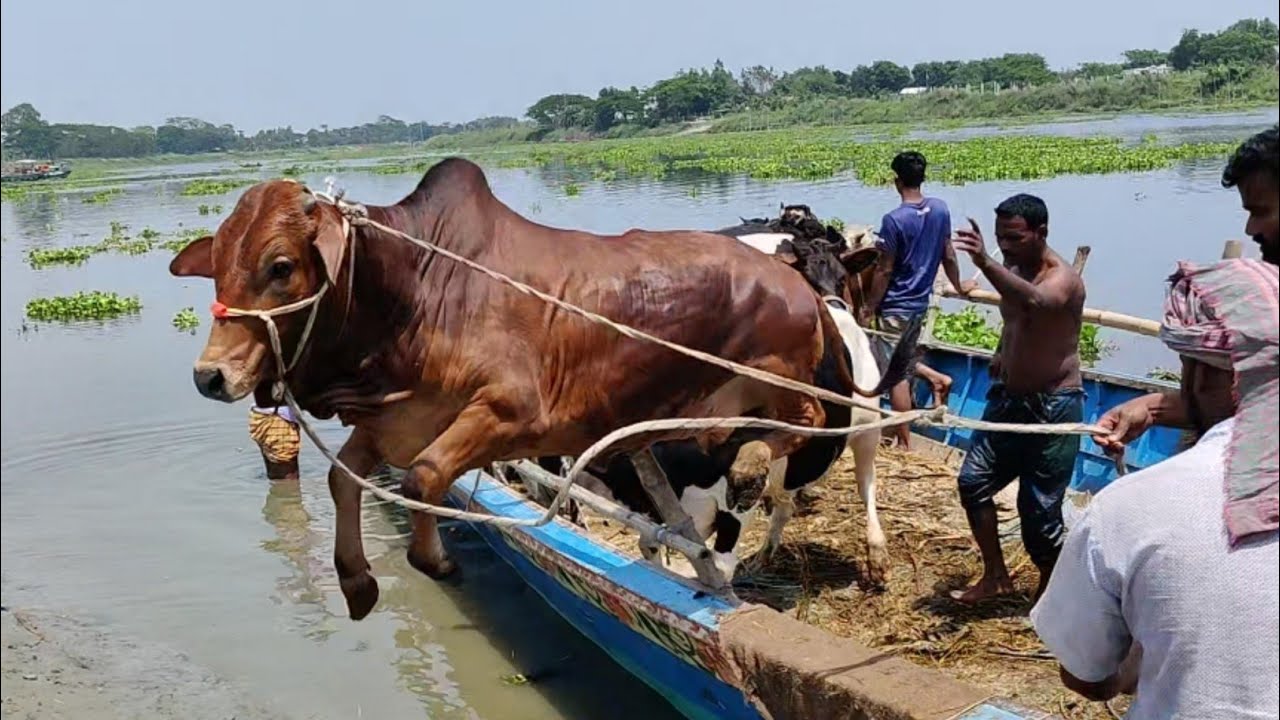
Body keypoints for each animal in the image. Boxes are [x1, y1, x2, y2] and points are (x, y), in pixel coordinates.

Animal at [169, 158, 914, 620]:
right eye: (219, 266)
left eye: (281, 265)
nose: (211, 375)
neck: (415, 289)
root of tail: (801, 286)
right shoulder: (396, 422)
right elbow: (344, 479)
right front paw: (356, 582)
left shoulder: (508, 416)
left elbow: (424, 478)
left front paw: (434, 561)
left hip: (788, 386)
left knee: (799, 428)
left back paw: (753, 459)